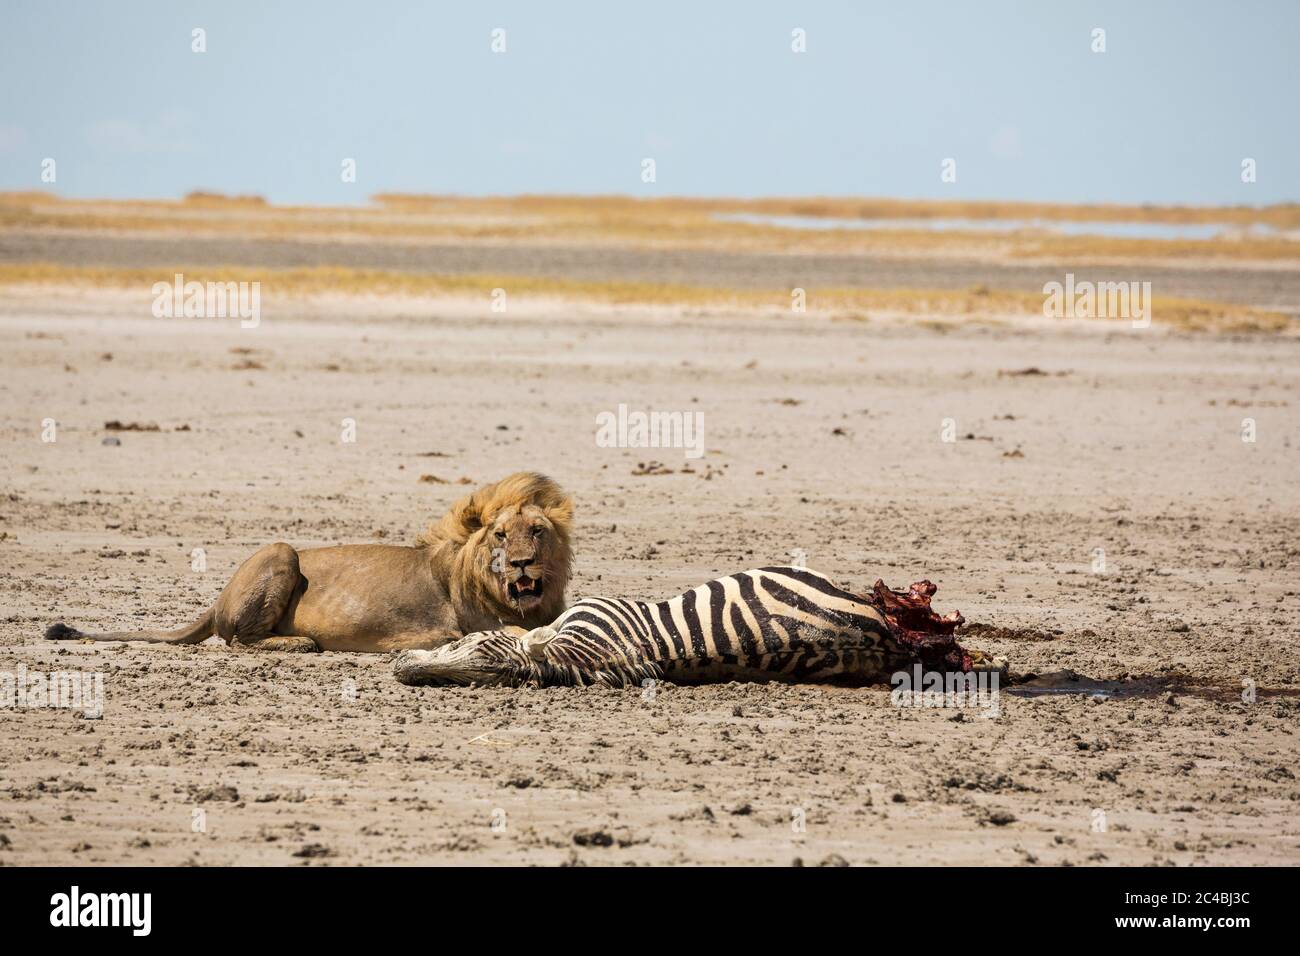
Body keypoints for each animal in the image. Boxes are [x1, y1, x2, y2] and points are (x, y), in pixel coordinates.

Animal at [44, 472, 574, 653]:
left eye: (538, 531)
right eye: (499, 534)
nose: (521, 563)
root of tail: (216, 599)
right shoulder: (472, 623)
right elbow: (517, 632)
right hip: (280, 551)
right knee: (238, 639)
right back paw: (300, 643)